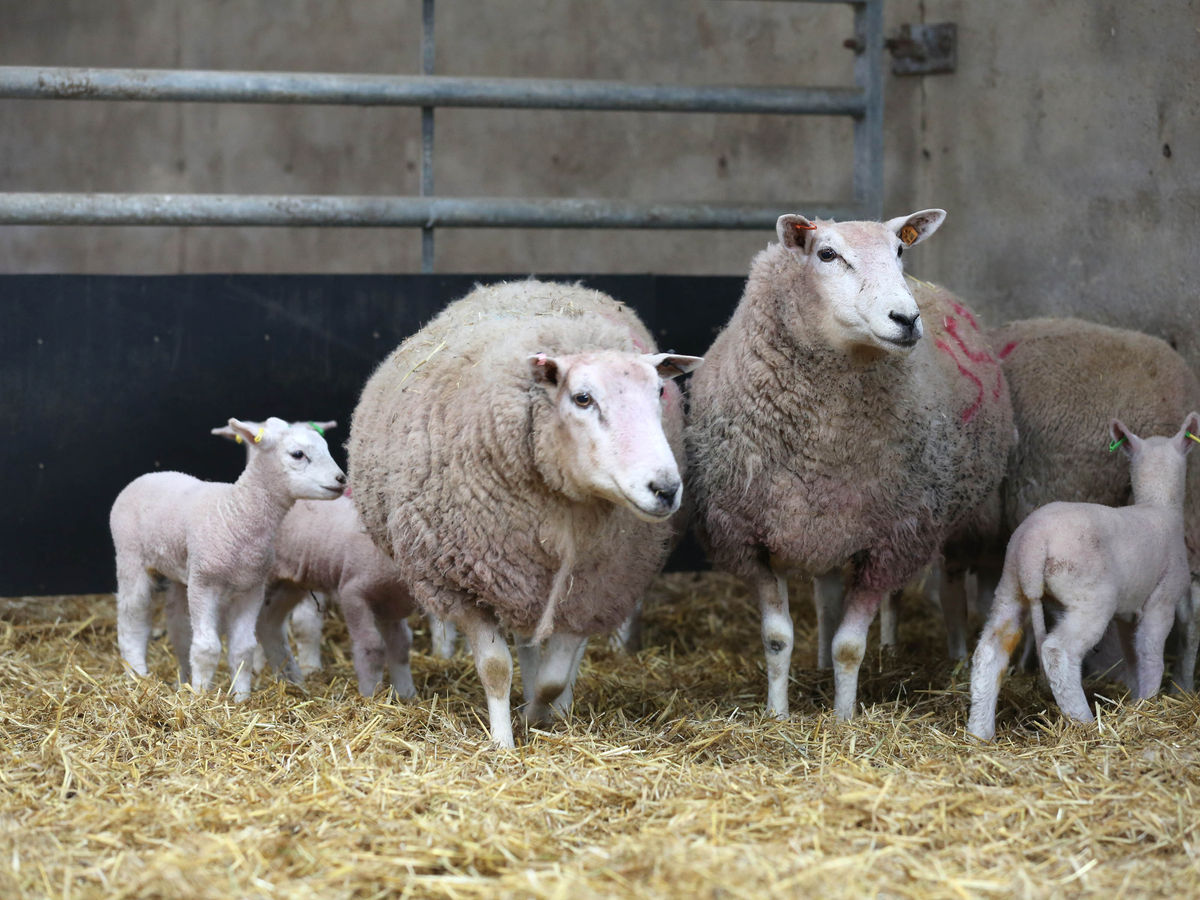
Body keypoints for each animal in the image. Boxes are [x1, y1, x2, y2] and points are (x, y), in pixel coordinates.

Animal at [109, 417, 346, 699]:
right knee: (132, 618)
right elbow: (207, 648)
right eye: (298, 454)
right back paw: (137, 676)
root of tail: (149, 475)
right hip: (130, 556)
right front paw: (201, 697)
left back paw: (183, 680)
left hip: (180, 571)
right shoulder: (204, 583)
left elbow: (243, 648)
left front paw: (241, 698)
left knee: (179, 627)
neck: (237, 513)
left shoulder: (252, 589)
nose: (341, 479)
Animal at [348, 279, 702, 747]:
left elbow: (555, 675)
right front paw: (503, 741)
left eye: (658, 393)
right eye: (582, 398)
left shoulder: (593, 587)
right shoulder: (463, 584)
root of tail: (535, 282)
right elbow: (497, 668)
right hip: (513, 576)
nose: (665, 489)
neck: (566, 507)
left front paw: (539, 713)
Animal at [686, 211, 1014, 720]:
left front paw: (843, 717)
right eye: (827, 254)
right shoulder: (747, 537)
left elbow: (850, 646)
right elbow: (777, 639)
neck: (824, 445)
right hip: (827, 524)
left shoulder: (892, 539)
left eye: (899, 251)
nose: (906, 318)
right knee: (826, 598)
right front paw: (777, 714)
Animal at [967, 413, 1199, 740]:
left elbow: (1133, 653)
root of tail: (1034, 544)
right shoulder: (1161, 601)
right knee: (1057, 652)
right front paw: (1148, 701)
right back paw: (1084, 722)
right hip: (1090, 596)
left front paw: (1136, 694)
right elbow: (1151, 652)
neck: (1158, 505)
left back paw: (979, 733)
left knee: (990, 651)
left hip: (1010, 587)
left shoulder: (1127, 612)